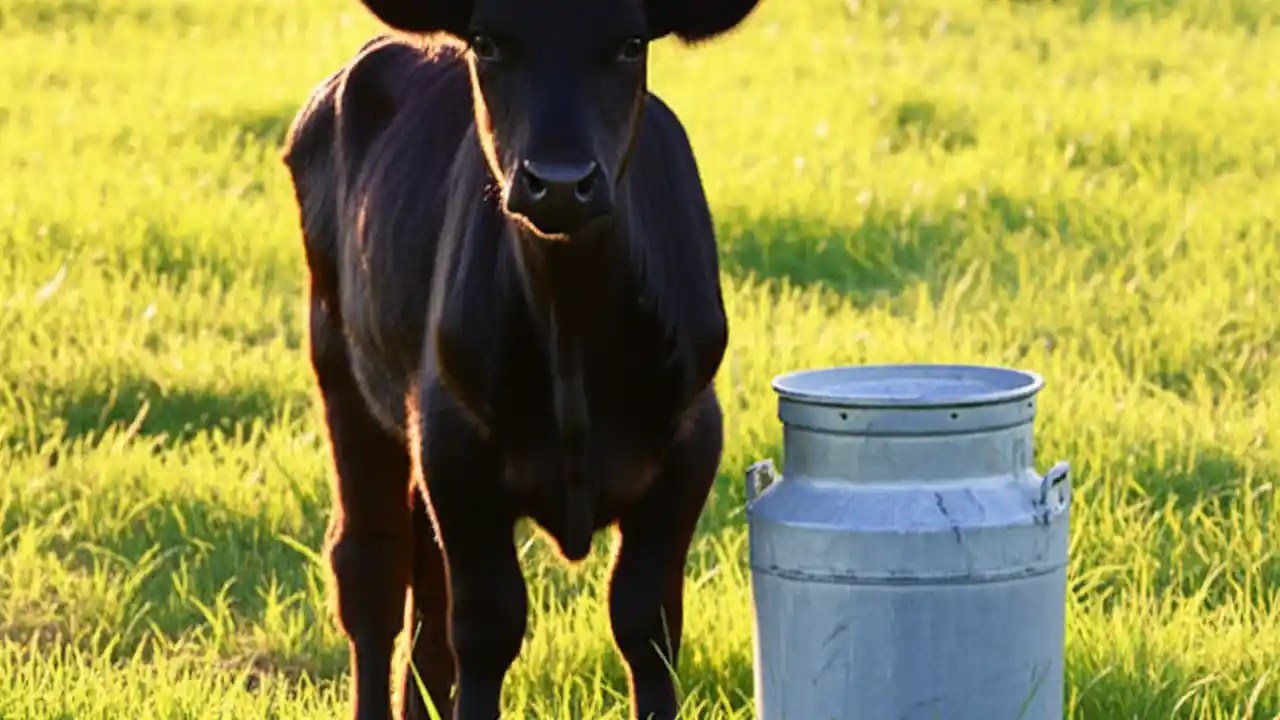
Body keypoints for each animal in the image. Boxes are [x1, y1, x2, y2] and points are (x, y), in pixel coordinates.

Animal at [279, 0, 760, 717]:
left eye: (630, 44)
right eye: (487, 43)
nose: (558, 184)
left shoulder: (692, 440)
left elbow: (647, 624)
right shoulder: (458, 448)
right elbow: (486, 626)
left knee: (425, 592)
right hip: (342, 368)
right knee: (372, 573)